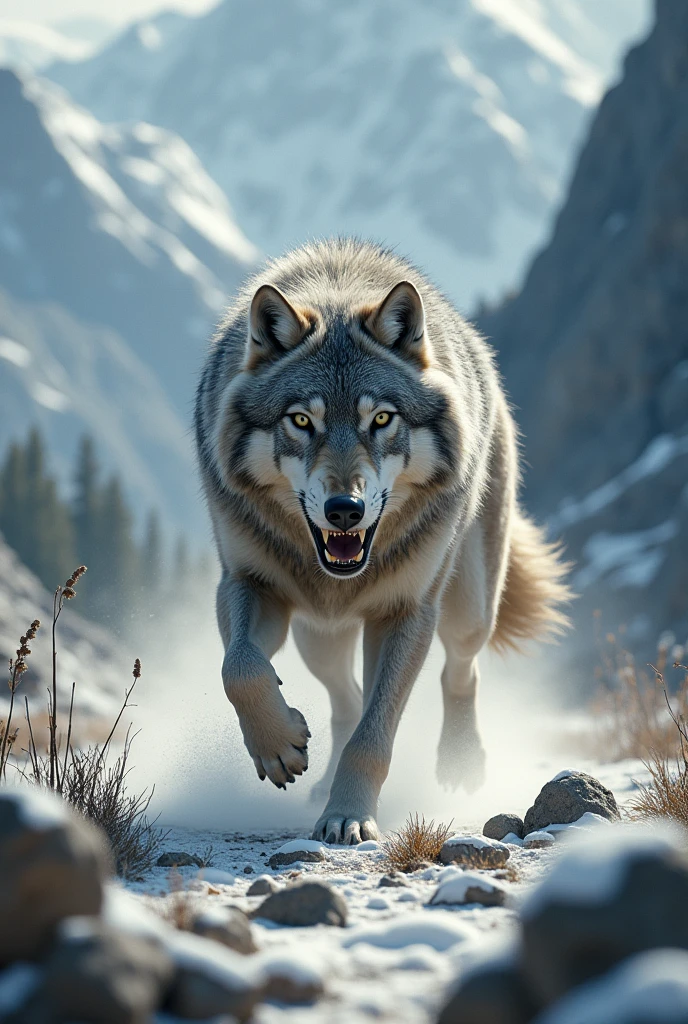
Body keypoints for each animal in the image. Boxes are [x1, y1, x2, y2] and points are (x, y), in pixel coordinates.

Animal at [195, 238, 569, 844]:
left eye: (382, 419)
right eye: (302, 420)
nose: (343, 509)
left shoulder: (407, 611)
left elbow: (374, 736)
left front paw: (349, 817)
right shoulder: (246, 582)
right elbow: (241, 669)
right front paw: (278, 746)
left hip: (466, 606)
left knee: (461, 668)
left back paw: (462, 761)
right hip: (318, 637)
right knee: (344, 697)